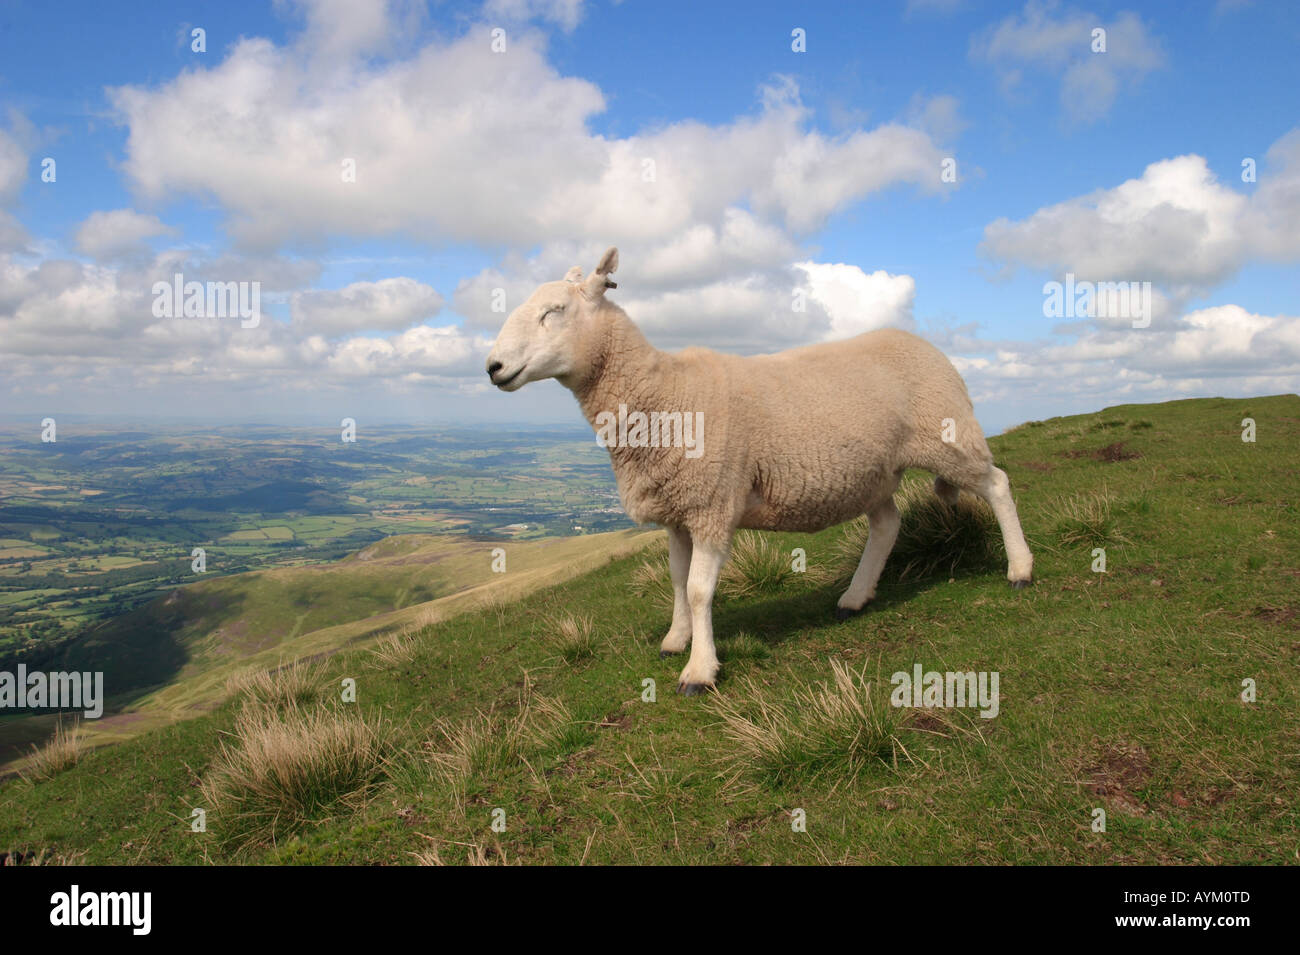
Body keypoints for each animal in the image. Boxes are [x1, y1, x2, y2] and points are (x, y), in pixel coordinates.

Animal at [486, 247, 1033, 695]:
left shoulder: (712, 502)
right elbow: (676, 579)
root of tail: (924, 344)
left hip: (947, 436)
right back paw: (855, 597)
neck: (663, 393)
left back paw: (1020, 570)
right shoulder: (678, 511)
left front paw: (700, 669)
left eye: (554, 311)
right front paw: (676, 639)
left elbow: (699, 589)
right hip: (874, 470)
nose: (492, 367)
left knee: (997, 484)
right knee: (887, 525)